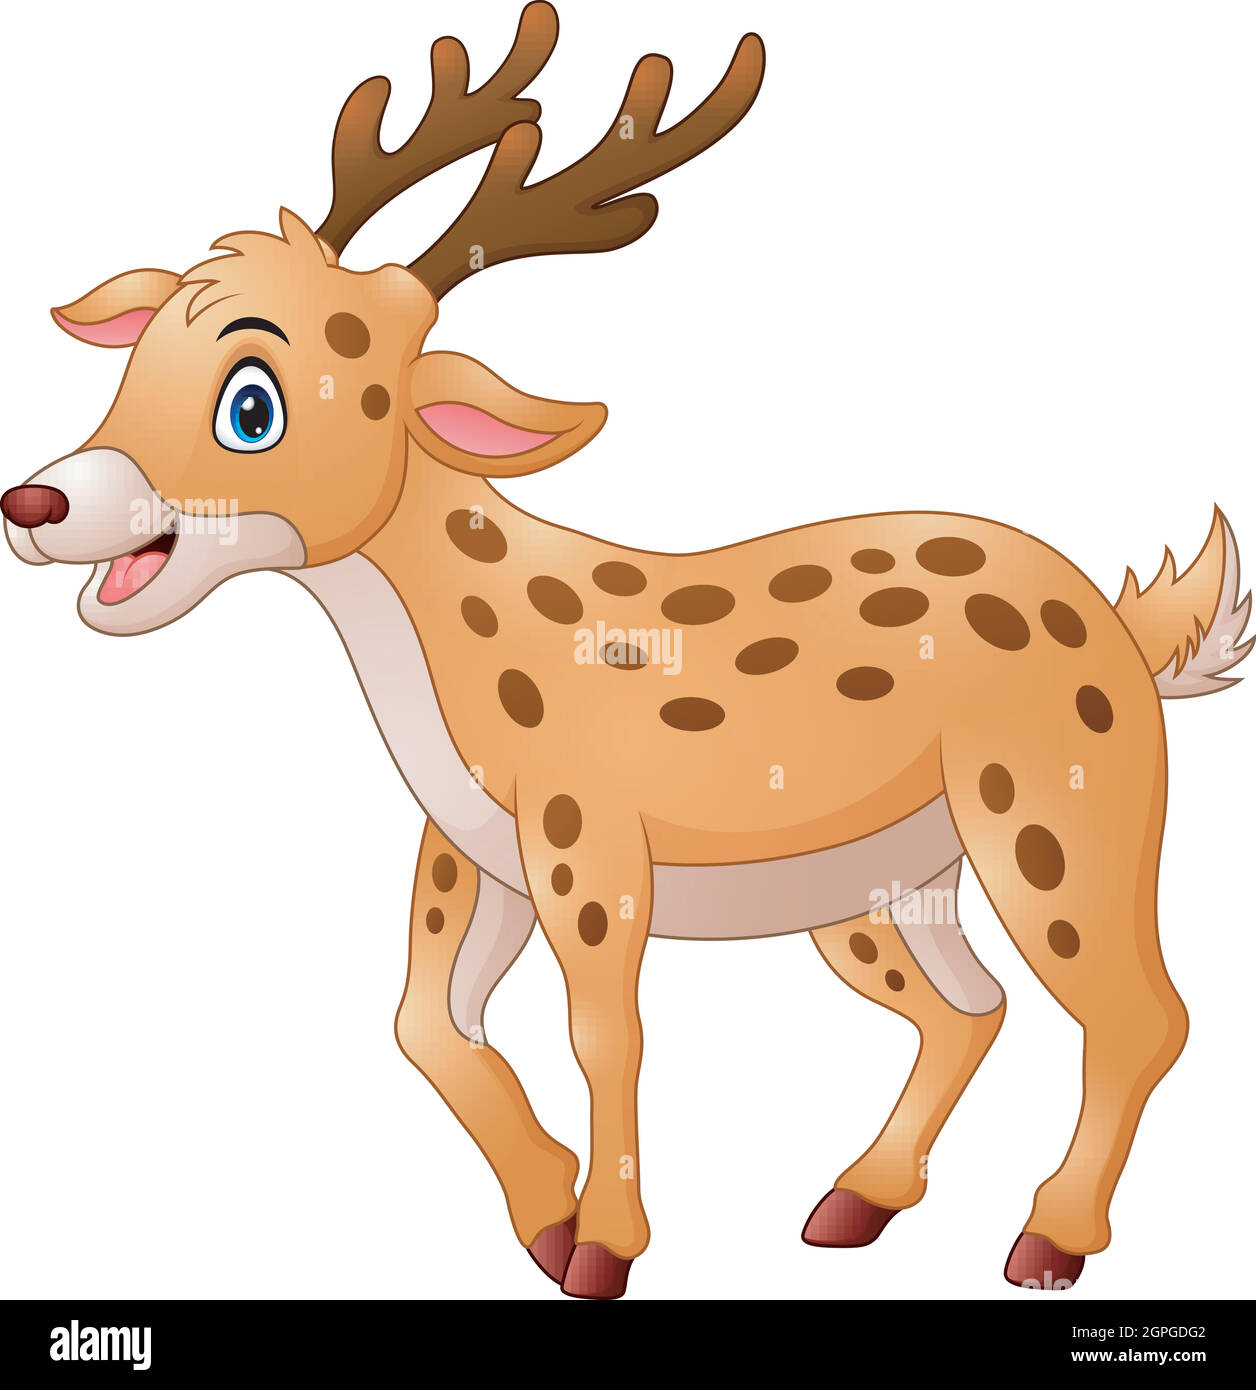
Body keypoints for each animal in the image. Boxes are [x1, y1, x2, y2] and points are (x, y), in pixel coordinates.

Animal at [2, 2, 1250, 1300]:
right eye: (137, 358)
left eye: (253, 404)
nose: (34, 504)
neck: (449, 657)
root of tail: (1121, 629)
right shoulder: (473, 848)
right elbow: (424, 1021)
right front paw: (546, 1211)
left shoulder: (587, 838)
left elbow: (603, 1031)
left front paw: (601, 1244)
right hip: (883, 880)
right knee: (968, 1005)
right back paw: (852, 1201)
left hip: (1062, 817)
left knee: (1139, 1012)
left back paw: (1047, 1237)